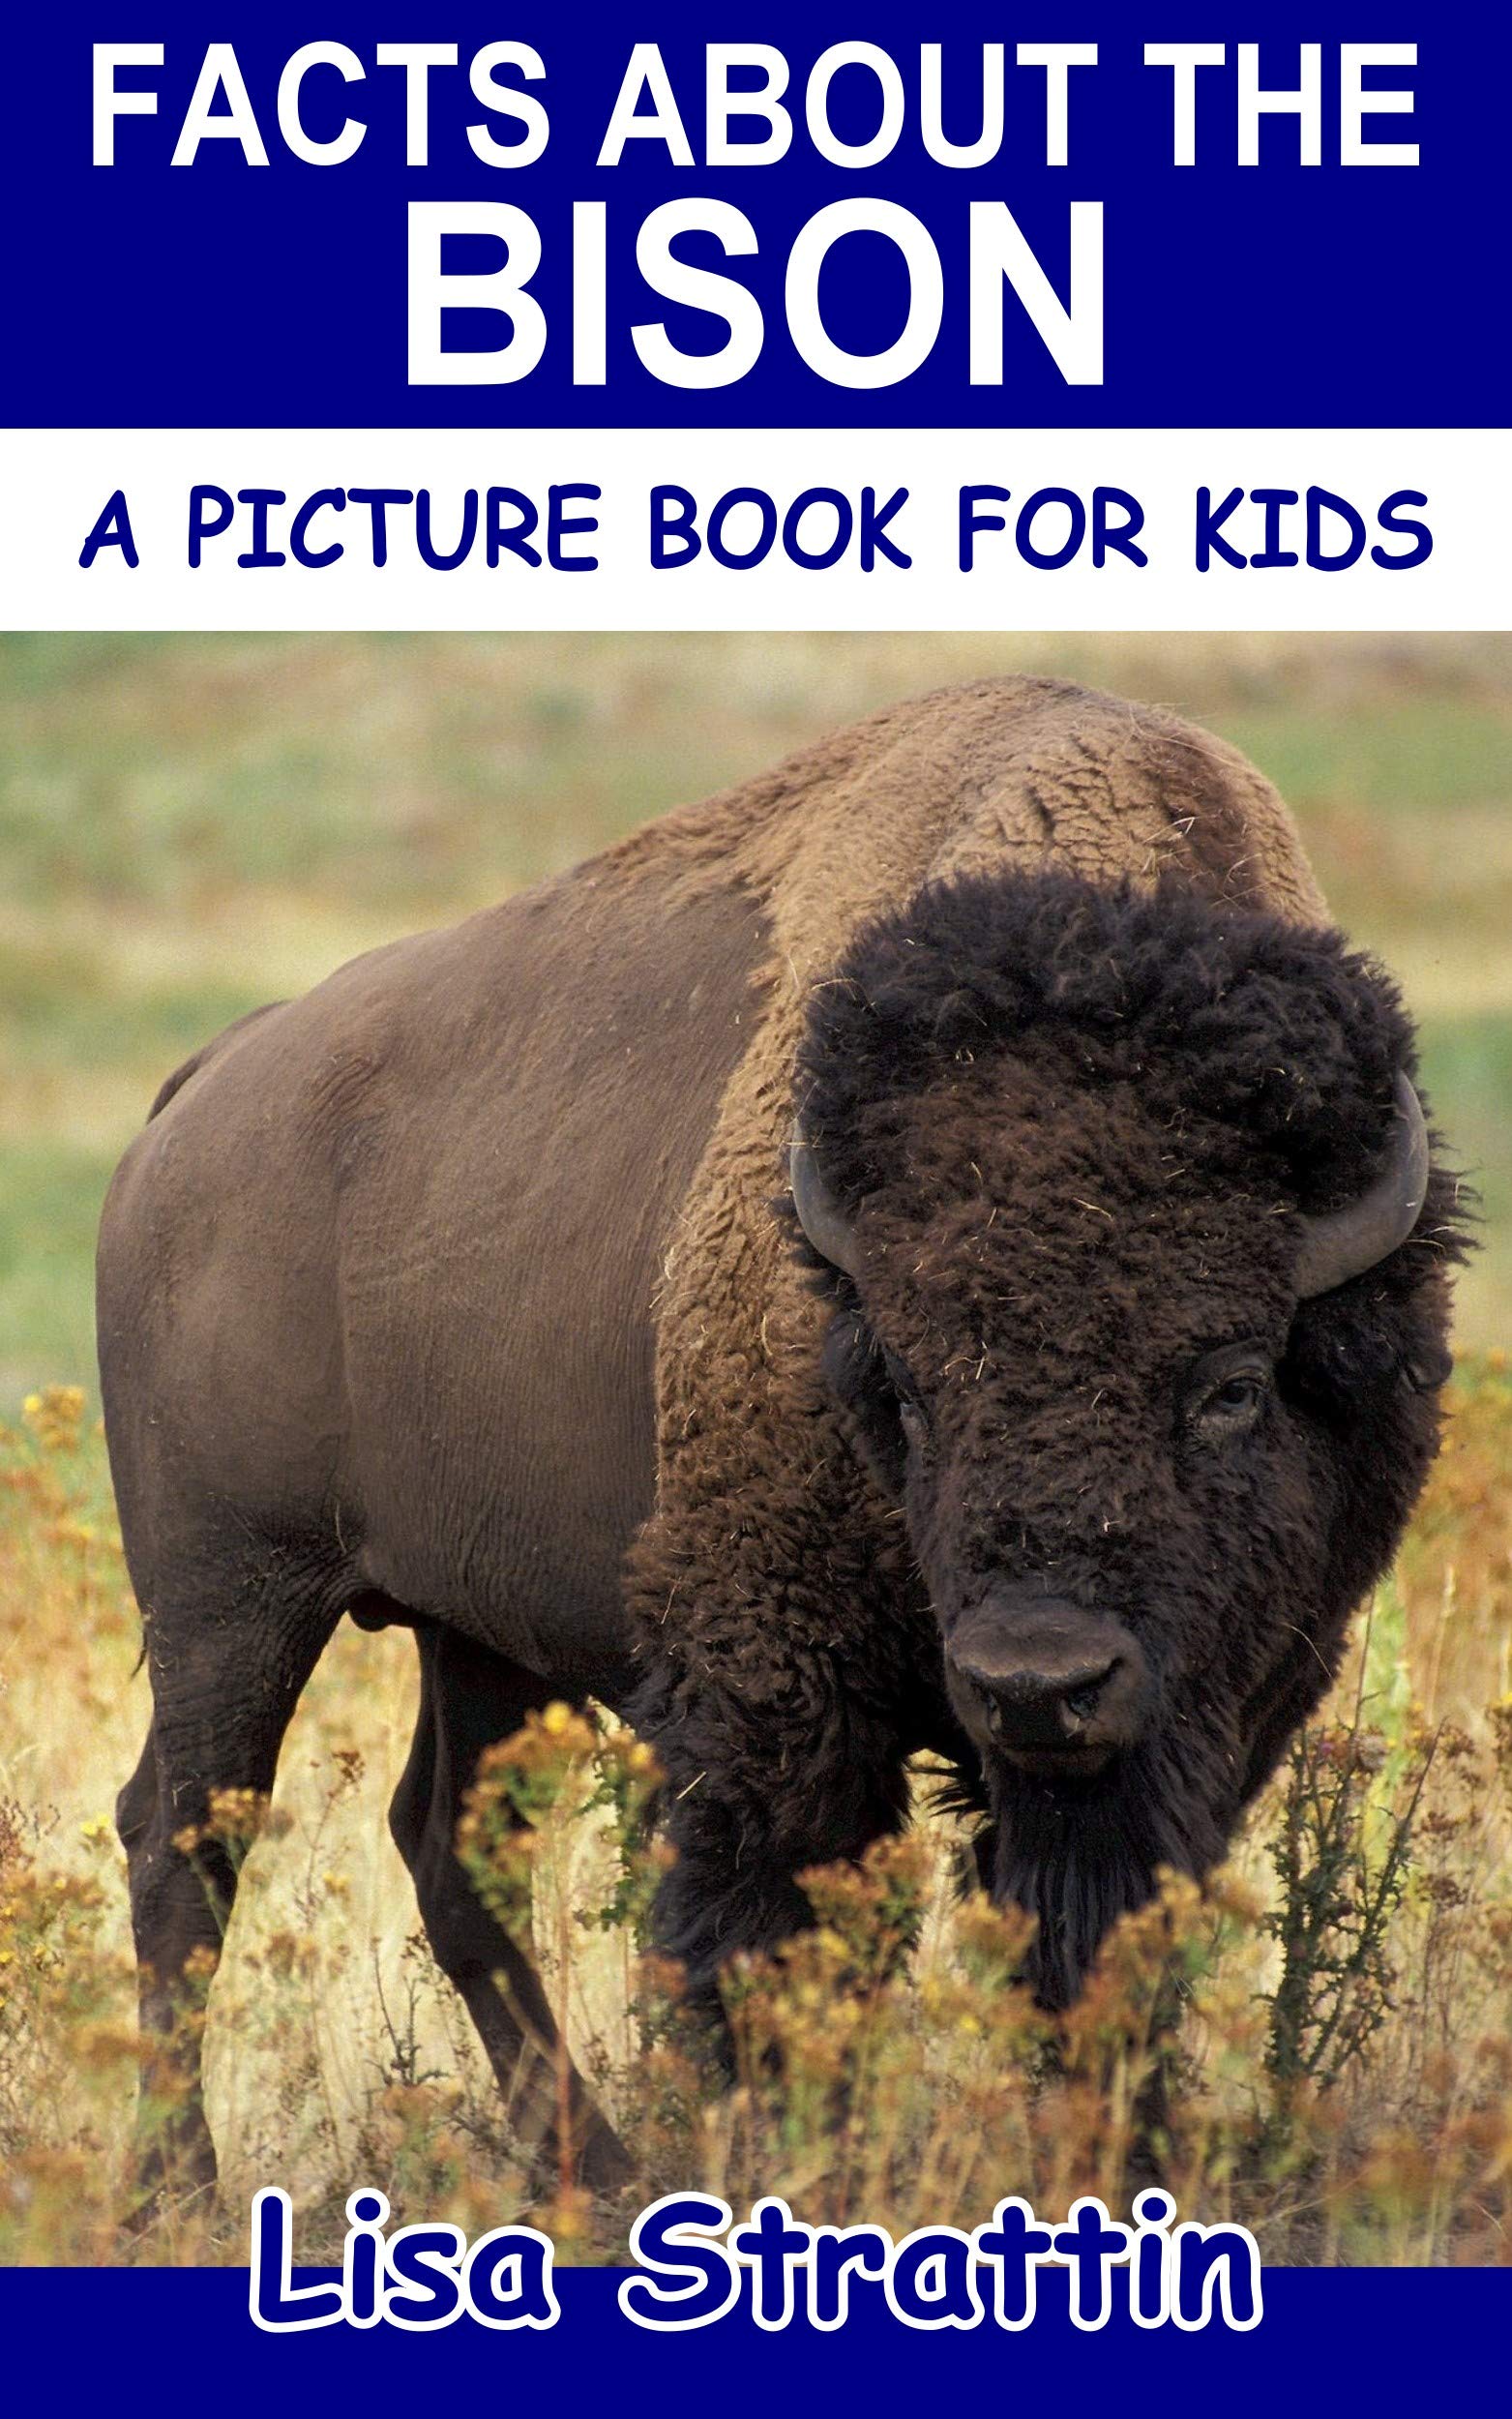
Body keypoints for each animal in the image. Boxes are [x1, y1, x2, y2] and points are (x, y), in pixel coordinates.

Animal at [98, 676, 1463, 2190]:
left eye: (1230, 1383)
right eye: (907, 1388)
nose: (1035, 1680)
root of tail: (201, 1093)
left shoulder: (1213, 1708)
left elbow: (1097, 1944)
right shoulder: (776, 1688)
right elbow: (776, 1940)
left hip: (471, 1626)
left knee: (444, 1843)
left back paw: (594, 2171)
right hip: (231, 1598)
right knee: (185, 1838)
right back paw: (179, 2188)